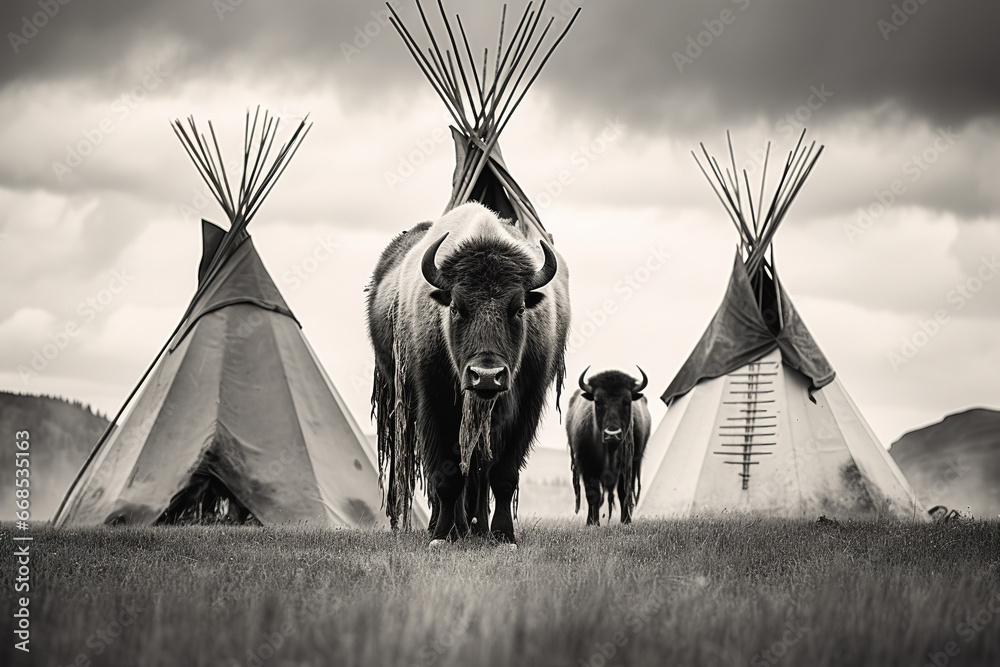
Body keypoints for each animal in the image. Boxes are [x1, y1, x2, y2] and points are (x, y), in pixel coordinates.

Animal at [367, 203, 570, 546]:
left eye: (519, 308)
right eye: (456, 307)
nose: (486, 375)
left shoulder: (525, 408)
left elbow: (502, 475)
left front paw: (503, 535)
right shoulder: (434, 406)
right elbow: (446, 477)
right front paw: (442, 535)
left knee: (480, 471)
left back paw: (476, 527)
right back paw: (453, 526)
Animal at [567, 367, 651, 525]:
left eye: (627, 401)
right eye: (598, 401)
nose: (612, 434)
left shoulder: (627, 466)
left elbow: (623, 492)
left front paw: (626, 521)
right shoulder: (587, 466)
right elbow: (592, 494)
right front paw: (592, 523)